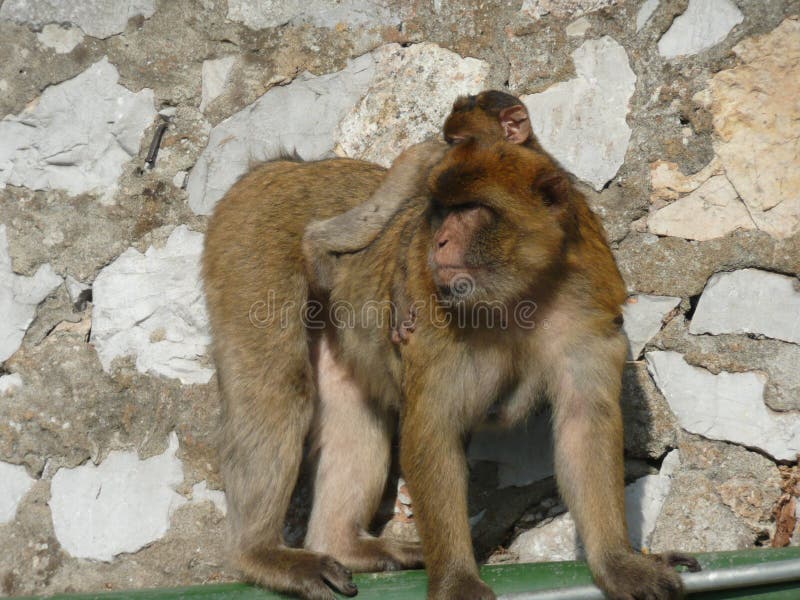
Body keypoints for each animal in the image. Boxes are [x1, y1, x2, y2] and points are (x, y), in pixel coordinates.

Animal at [203, 95, 699, 599]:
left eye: (470, 209)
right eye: (441, 212)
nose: (438, 241)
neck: (519, 293)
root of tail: (283, 167)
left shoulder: (589, 312)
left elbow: (585, 423)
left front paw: (619, 563)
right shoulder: (433, 323)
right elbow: (433, 430)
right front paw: (457, 580)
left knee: (352, 408)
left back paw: (342, 546)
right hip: (250, 244)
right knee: (278, 389)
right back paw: (261, 554)